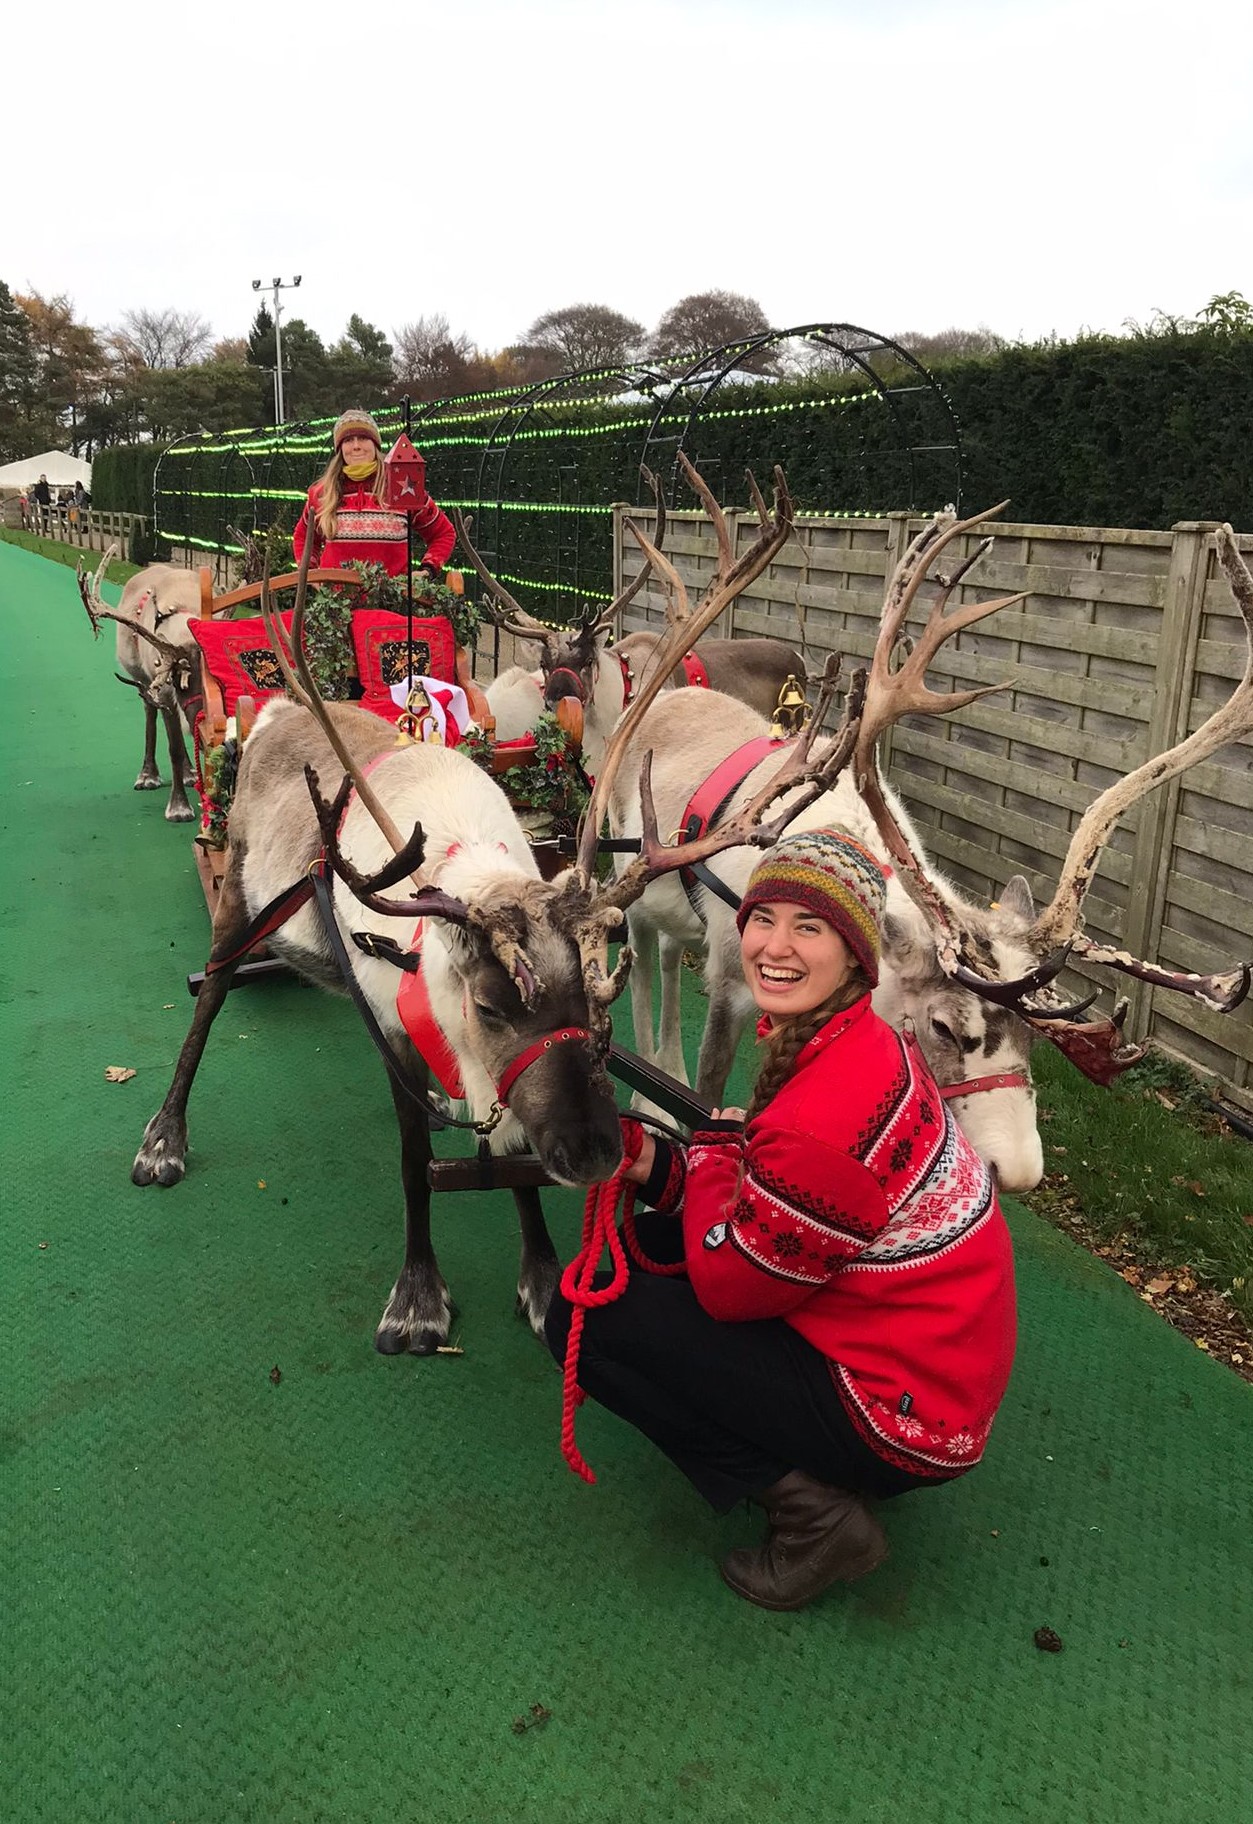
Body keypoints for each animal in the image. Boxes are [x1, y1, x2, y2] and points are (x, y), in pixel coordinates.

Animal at [127, 461, 815, 1356]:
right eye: (491, 1005)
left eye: (606, 1000)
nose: (595, 1152)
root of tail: (274, 711)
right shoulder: (396, 1026)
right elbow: (415, 1159)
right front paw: (419, 1297)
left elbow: (512, 1152)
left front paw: (544, 1279)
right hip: (240, 888)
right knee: (211, 989)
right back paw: (163, 1138)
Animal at [606, 507, 1253, 1194]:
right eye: (945, 1026)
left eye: (1034, 1039)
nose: (1018, 1173)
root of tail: (670, 694)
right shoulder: (732, 982)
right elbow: (704, 1099)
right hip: (630, 880)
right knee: (641, 964)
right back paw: (647, 1094)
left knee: (670, 955)